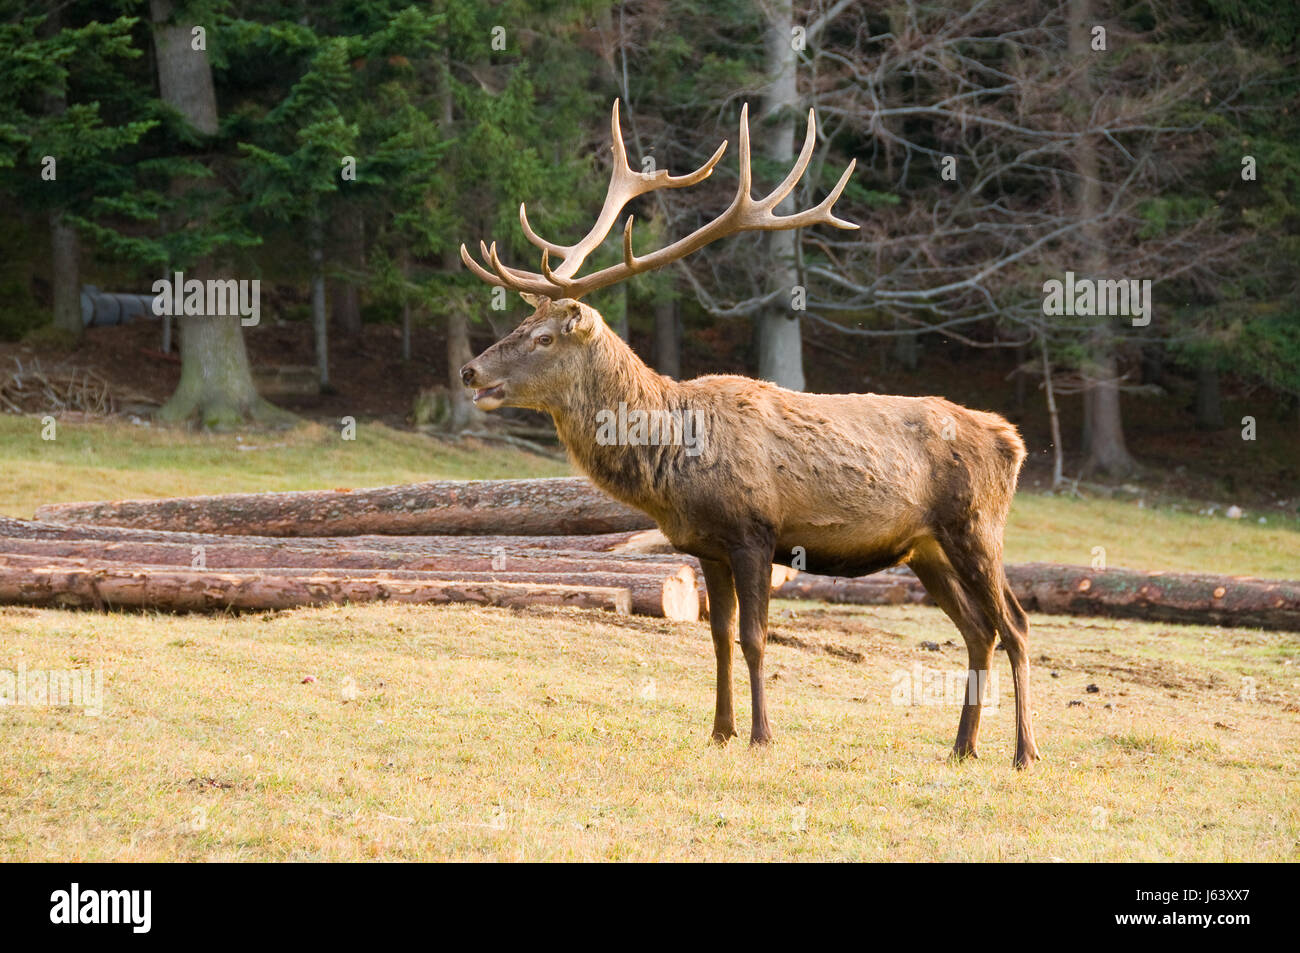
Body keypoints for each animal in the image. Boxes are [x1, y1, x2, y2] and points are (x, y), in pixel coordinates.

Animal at [458, 101, 1041, 769]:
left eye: (543, 337)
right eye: (521, 323)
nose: (470, 371)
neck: (672, 459)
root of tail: (1013, 440)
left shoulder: (754, 530)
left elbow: (754, 636)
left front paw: (762, 734)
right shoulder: (706, 546)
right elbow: (716, 637)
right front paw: (720, 730)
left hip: (976, 526)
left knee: (1015, 624)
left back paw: (1025, 752)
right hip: (926, 549)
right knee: (978, 630)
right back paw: (962, 747)